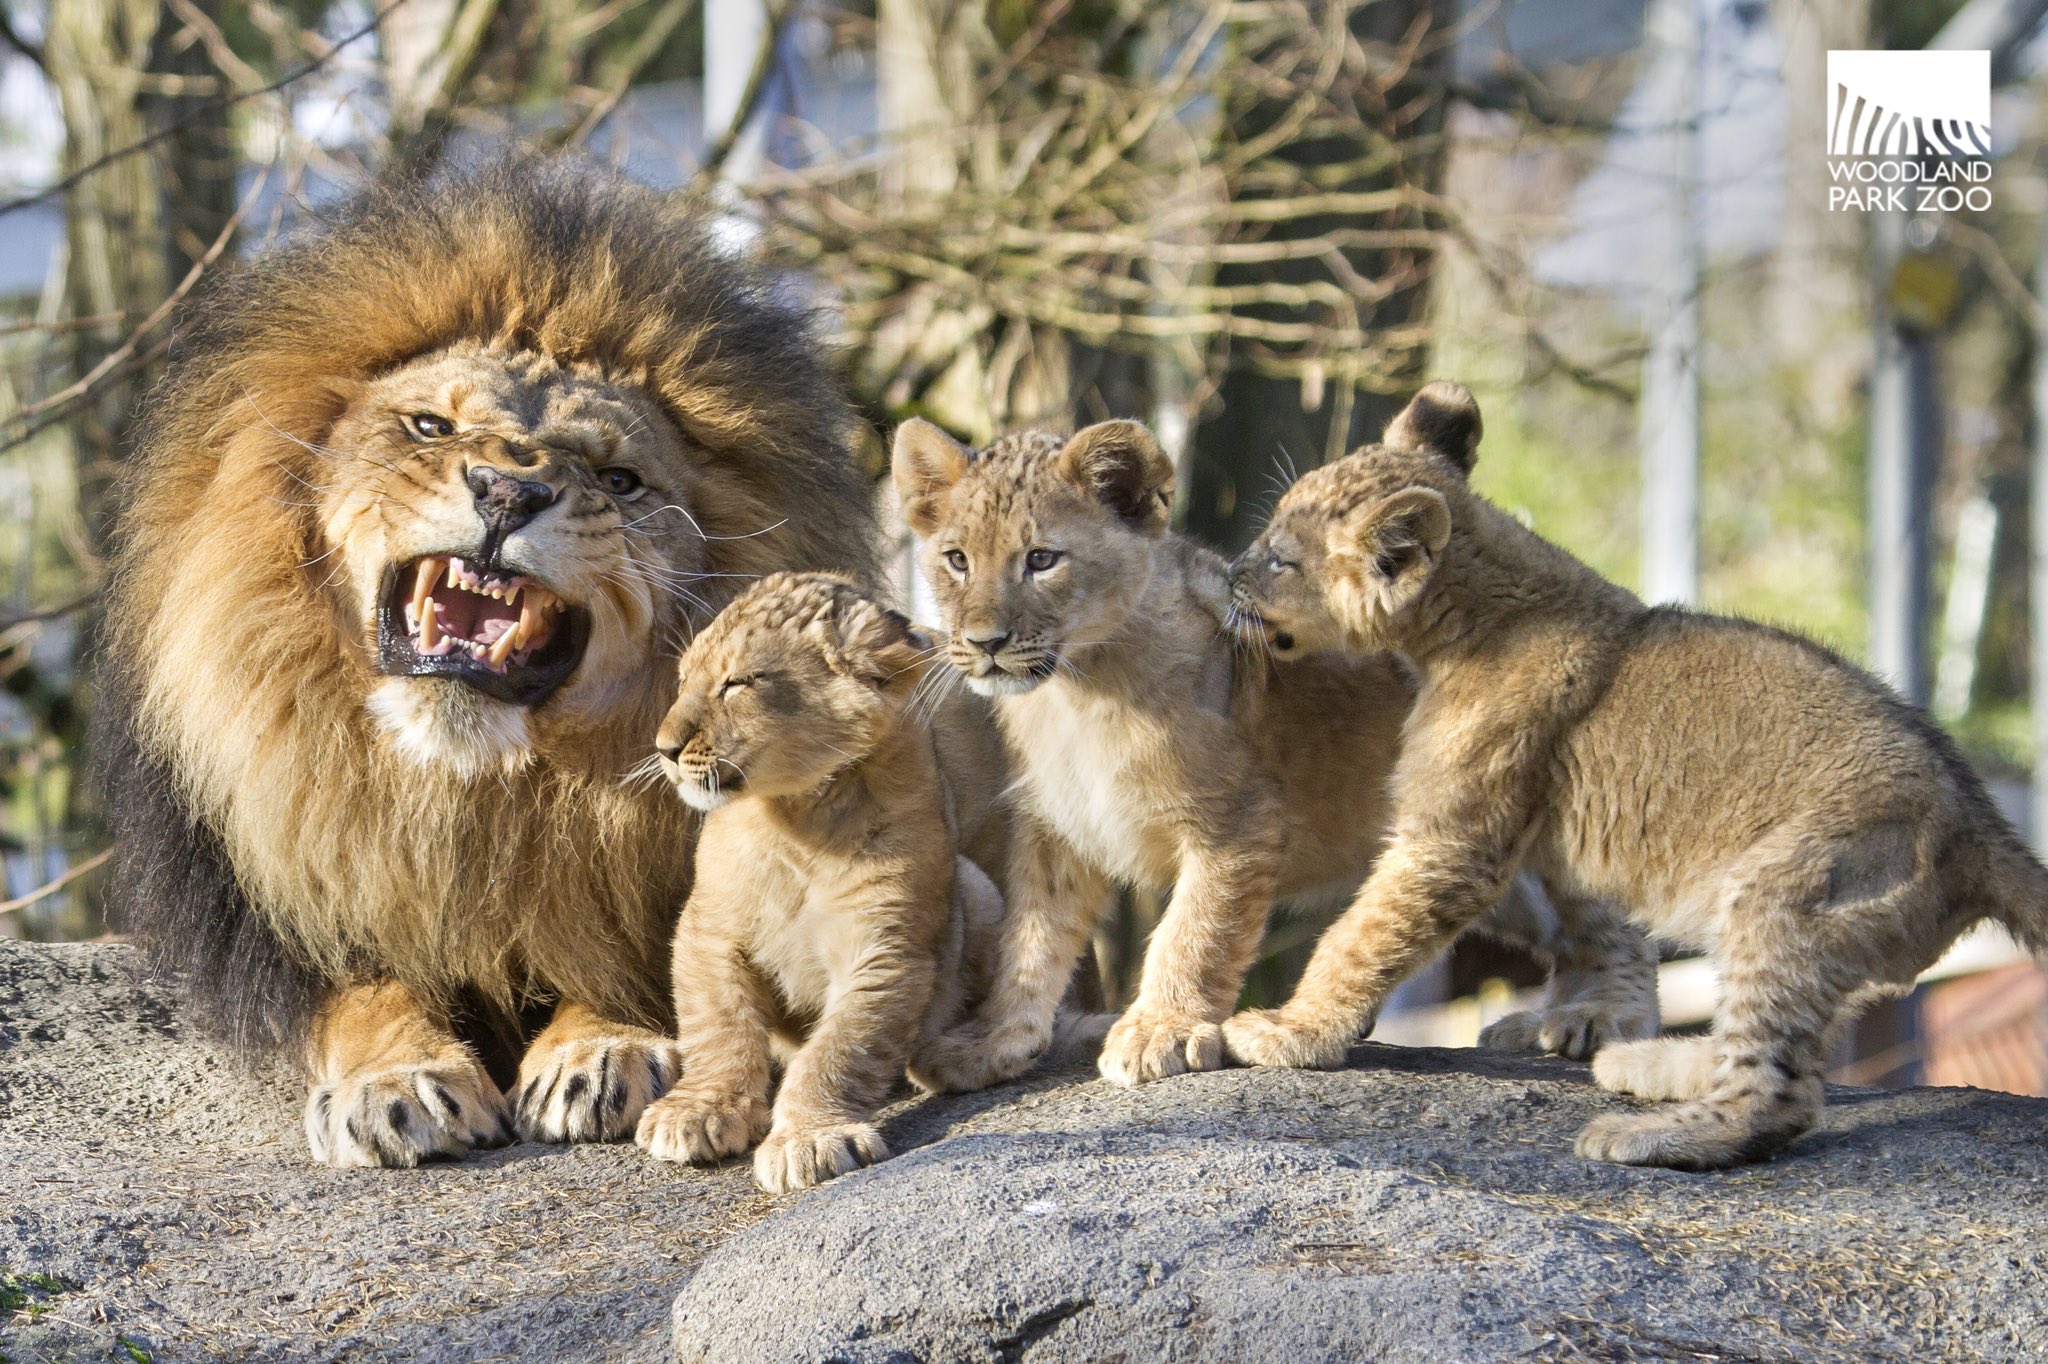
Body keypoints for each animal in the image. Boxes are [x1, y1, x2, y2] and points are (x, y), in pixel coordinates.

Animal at [97, 157, 878, 1167]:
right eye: (431, 428)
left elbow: (639, 960)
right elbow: (362, 993)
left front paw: (599, 1052)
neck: (473, 790)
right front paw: (397, 1079)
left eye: (618, 478)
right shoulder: (284, 910)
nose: (508, 490)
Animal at [633, 572, 1009, 1191]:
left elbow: (838, 1051)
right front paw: (698, 1110)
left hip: (975, 887)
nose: (663, 748)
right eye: (685, 680)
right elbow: (719, 1026)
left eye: (738, 683)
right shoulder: (707, 932)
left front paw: (808, 1139)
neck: (798, 820)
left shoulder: (883, 948)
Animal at [890, 417, 1658, 1093]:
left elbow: (1193, 932)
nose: (985, 643)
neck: (1075, 694)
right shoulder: (1059, 829)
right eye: (956, 560)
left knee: (1616, 923)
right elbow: (1030, 941)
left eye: (1042, 559)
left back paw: (1599, 1018)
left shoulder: (1238, 824)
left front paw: (1160, 1031)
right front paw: (994, 1042)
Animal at [1223, 380, 2048, 1168]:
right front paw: (1585, 1018)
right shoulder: (1566, 833)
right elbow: (1597, 930)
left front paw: (1293, 1028)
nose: (1230, 571)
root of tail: (1981, 818)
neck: (1465, 623)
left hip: (1791, 895)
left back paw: (1651, 1131)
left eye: (1280, 560)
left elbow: (1361, 935)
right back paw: (1647, 1061)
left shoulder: (1453, 842)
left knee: (1784, 1092)